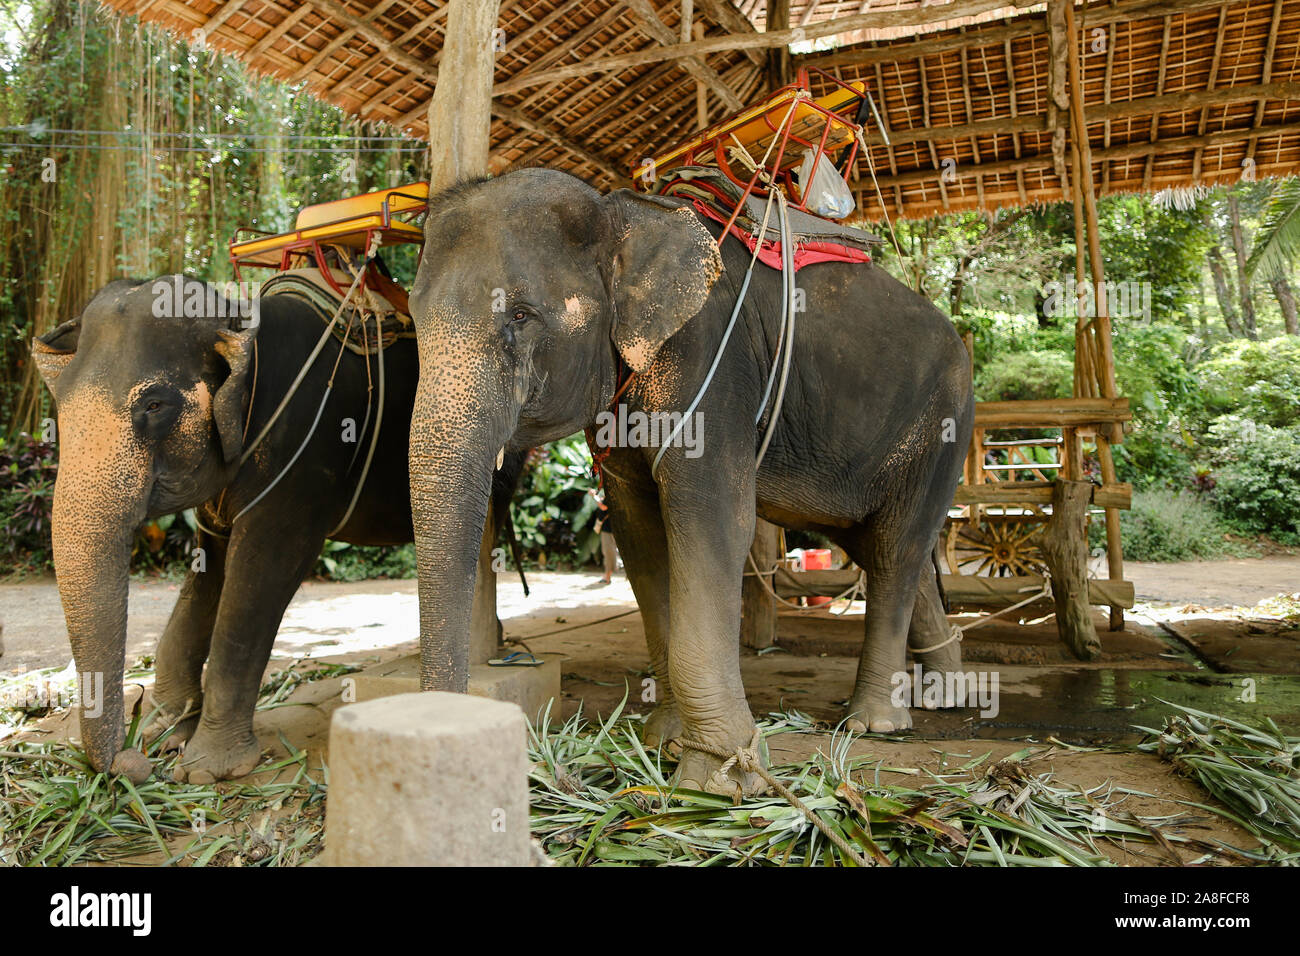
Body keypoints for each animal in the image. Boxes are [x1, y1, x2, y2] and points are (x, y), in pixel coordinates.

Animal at [32, 275, 425, 784]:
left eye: (155, 404)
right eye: (60, 406)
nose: (131, 761)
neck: (237, 318)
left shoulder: (304, 461)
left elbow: (259, 576)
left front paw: (205, 770)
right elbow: (206, 575)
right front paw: (165, 730)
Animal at [405, 168, 975, 796]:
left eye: (522, 316)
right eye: (413, 317)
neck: (622, 211)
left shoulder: (712, 364)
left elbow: (713, 518)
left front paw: (718, 777)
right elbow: (642, 537)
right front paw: (665, 741)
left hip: (943, 425)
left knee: (897, 549)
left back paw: (875, 723)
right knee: (886, 547)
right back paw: (942, 695)